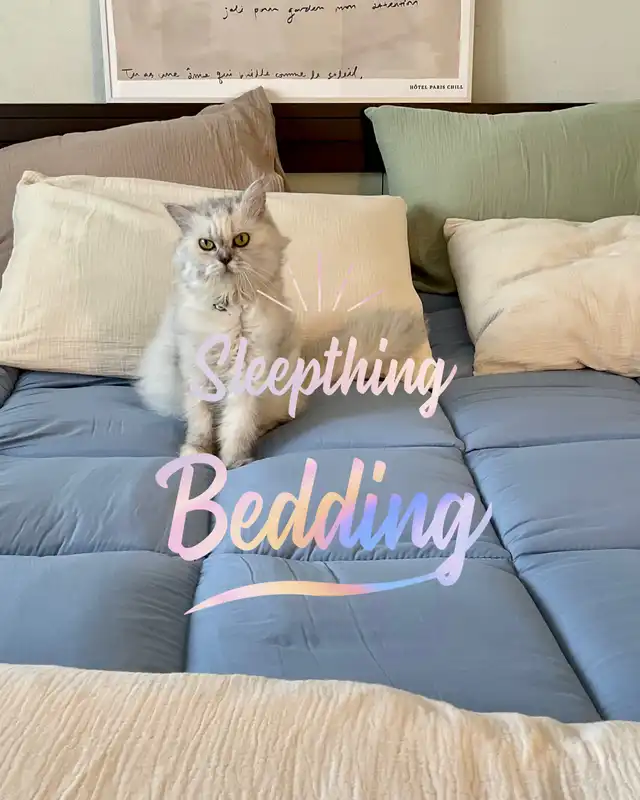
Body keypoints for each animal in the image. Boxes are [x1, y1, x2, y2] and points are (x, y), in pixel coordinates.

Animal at [137, 178, 429, 469]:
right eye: (206, 244)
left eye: (241, 240)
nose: (225, 258)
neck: (231, 306)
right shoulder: (196, 370)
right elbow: (201, 423)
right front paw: (196, 453)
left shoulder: (248, 372)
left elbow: (236, 425)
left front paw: (233, 462)